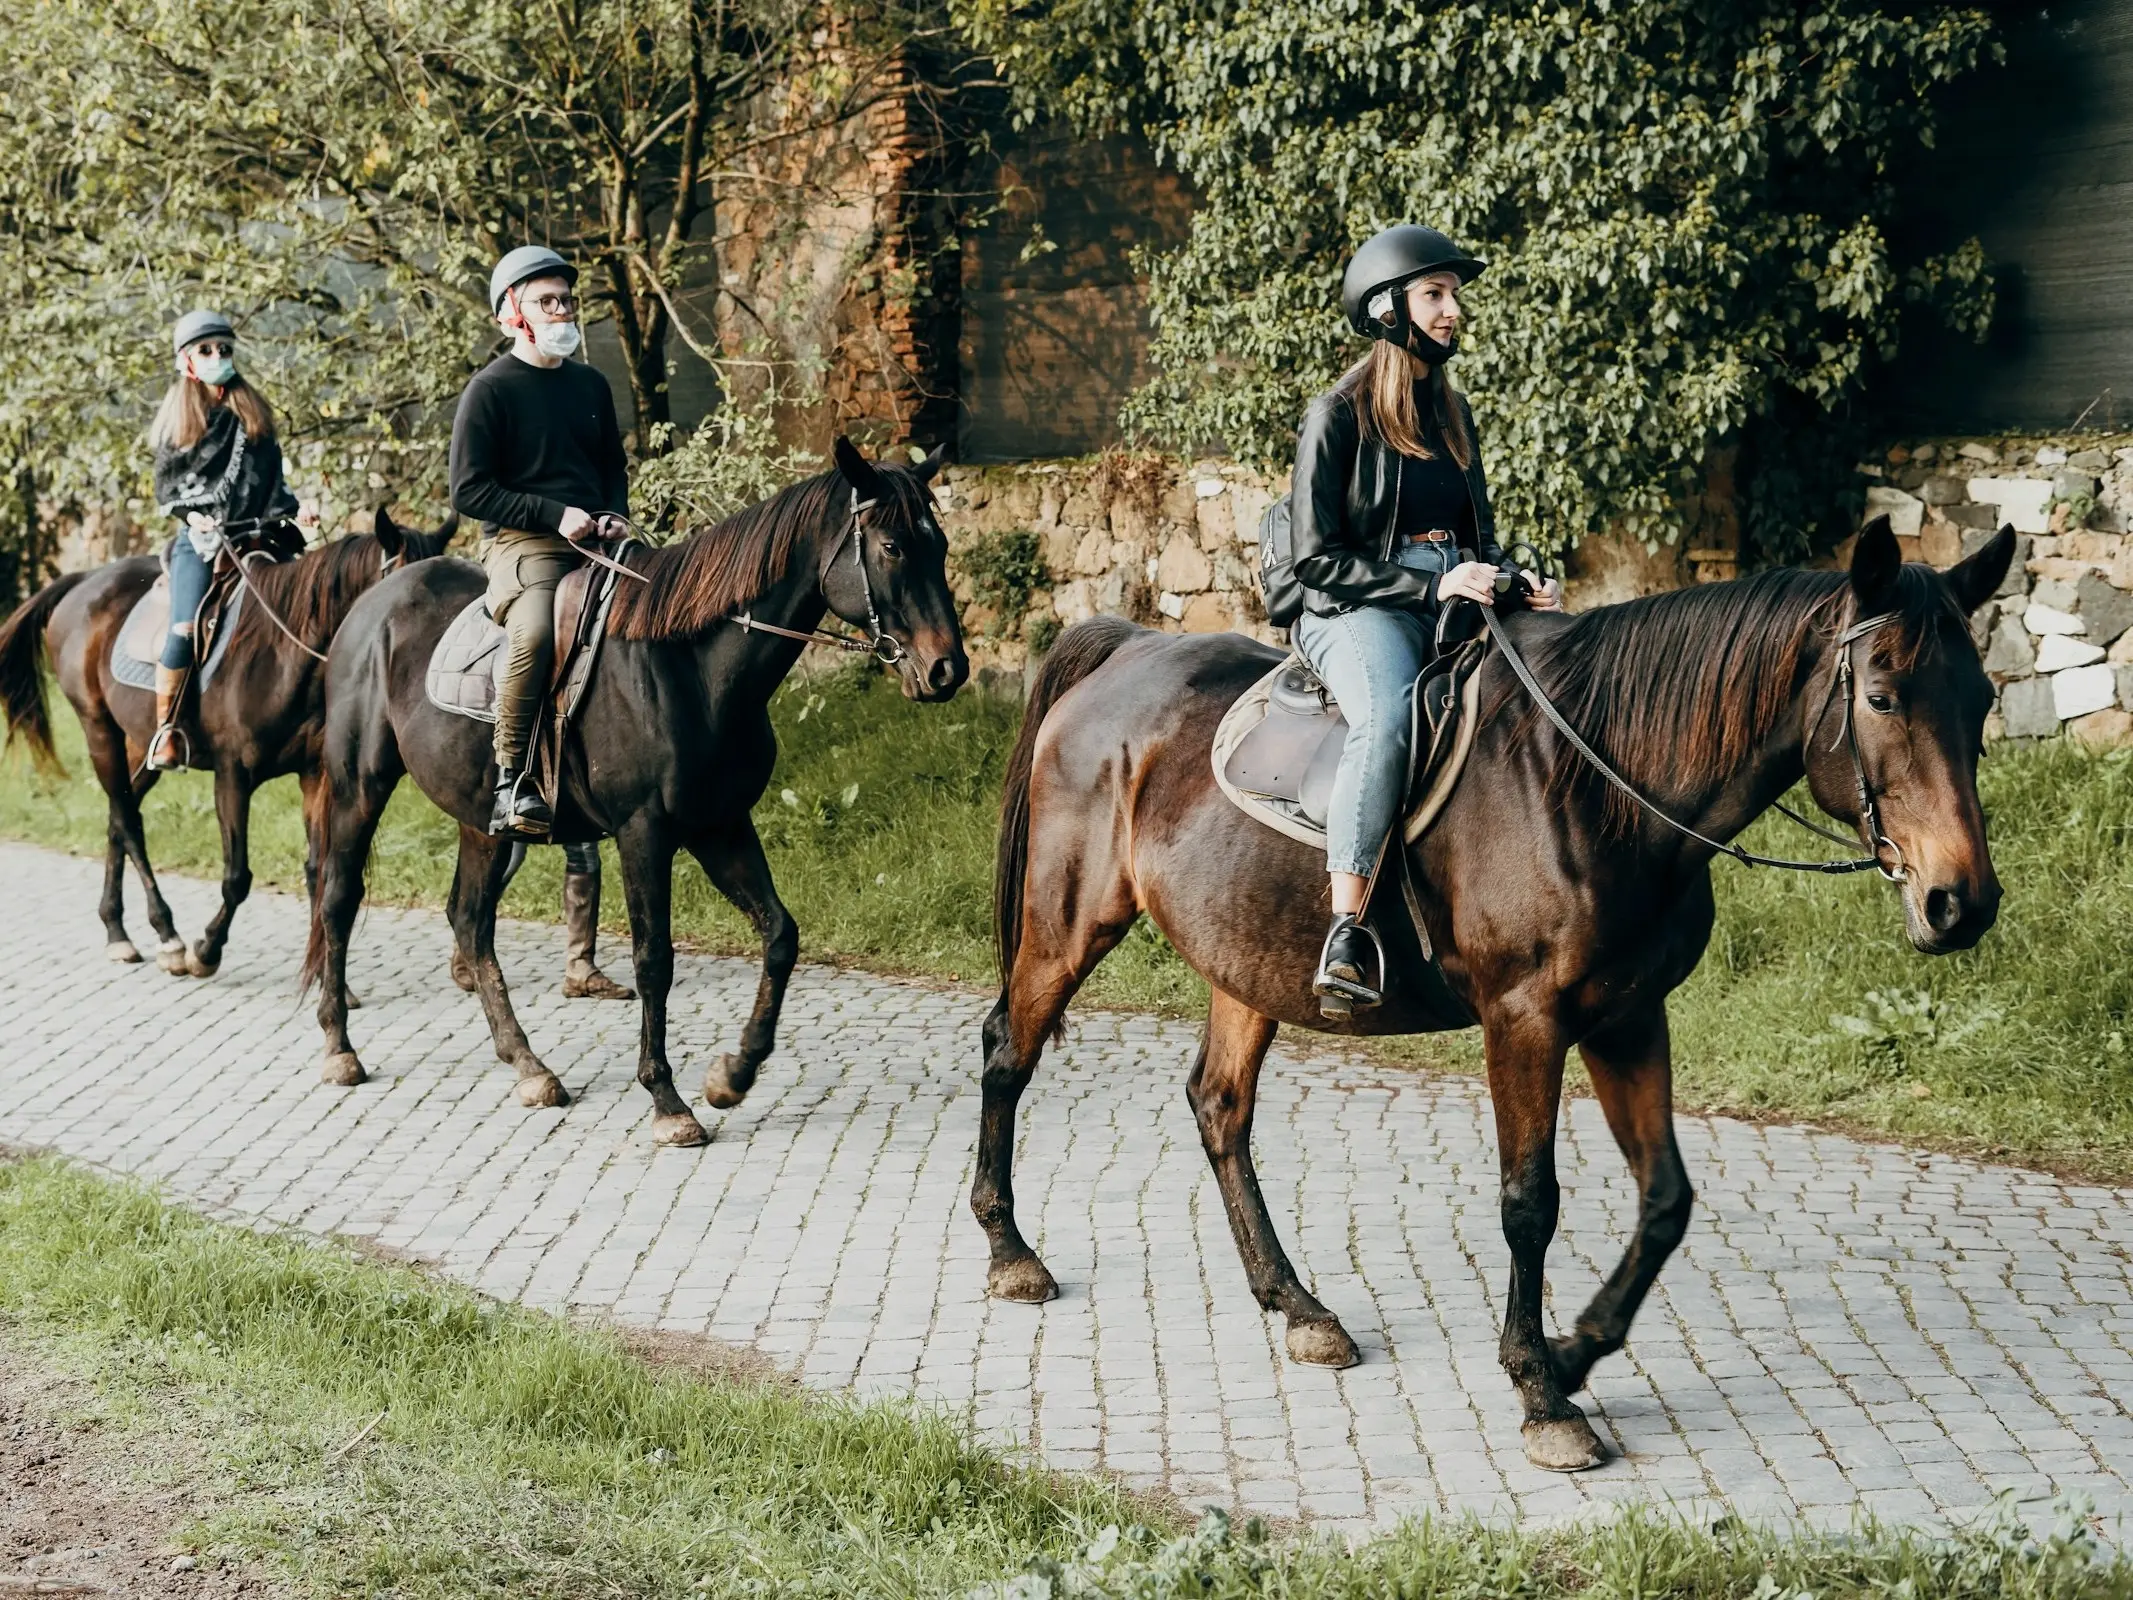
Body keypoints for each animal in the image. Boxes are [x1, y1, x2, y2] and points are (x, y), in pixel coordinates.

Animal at [0, 510, 457, 975]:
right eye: (409, 592)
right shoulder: (232, 775)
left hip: (140, 747)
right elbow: (237, 877)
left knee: (117, 818)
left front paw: (329, 979)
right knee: (128, 823)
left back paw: (117, 932)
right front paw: (206, 950)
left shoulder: (314, 777)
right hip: (99, 730)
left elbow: (318, 871)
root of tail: (85, 581)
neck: (284, 654)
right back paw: (167, 936)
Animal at [299, 439, 969, 1147]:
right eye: (892, 547)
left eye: (940, 544)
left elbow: (780, 935)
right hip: (358, 787)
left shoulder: (721, 824)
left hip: (480, 822)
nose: (947, 669)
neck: (690, 663)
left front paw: (733, 1074)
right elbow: (654, 960)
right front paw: (668, 1100)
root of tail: (372, 605)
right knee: (339, 899)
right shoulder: (642, 832)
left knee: (470, 922)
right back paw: (340, 1047)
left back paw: (528, 1066)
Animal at [973, 518, 2015, 1471]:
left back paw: (1297, 1307)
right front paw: (1539, 1390)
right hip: (1068, 921)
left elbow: (1664, 1200)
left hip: (1247, 957)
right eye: (1880, 697)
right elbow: (1529, 1202)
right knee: (1007, 1054)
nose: (1958, 902)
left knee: (1218, 1103)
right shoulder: (1525, 1020)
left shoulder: (1627, 1014)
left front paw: (1574, 1351)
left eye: (1982, 698)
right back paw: (1012, 1254)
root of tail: (1126, 648)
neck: (1599, 788)